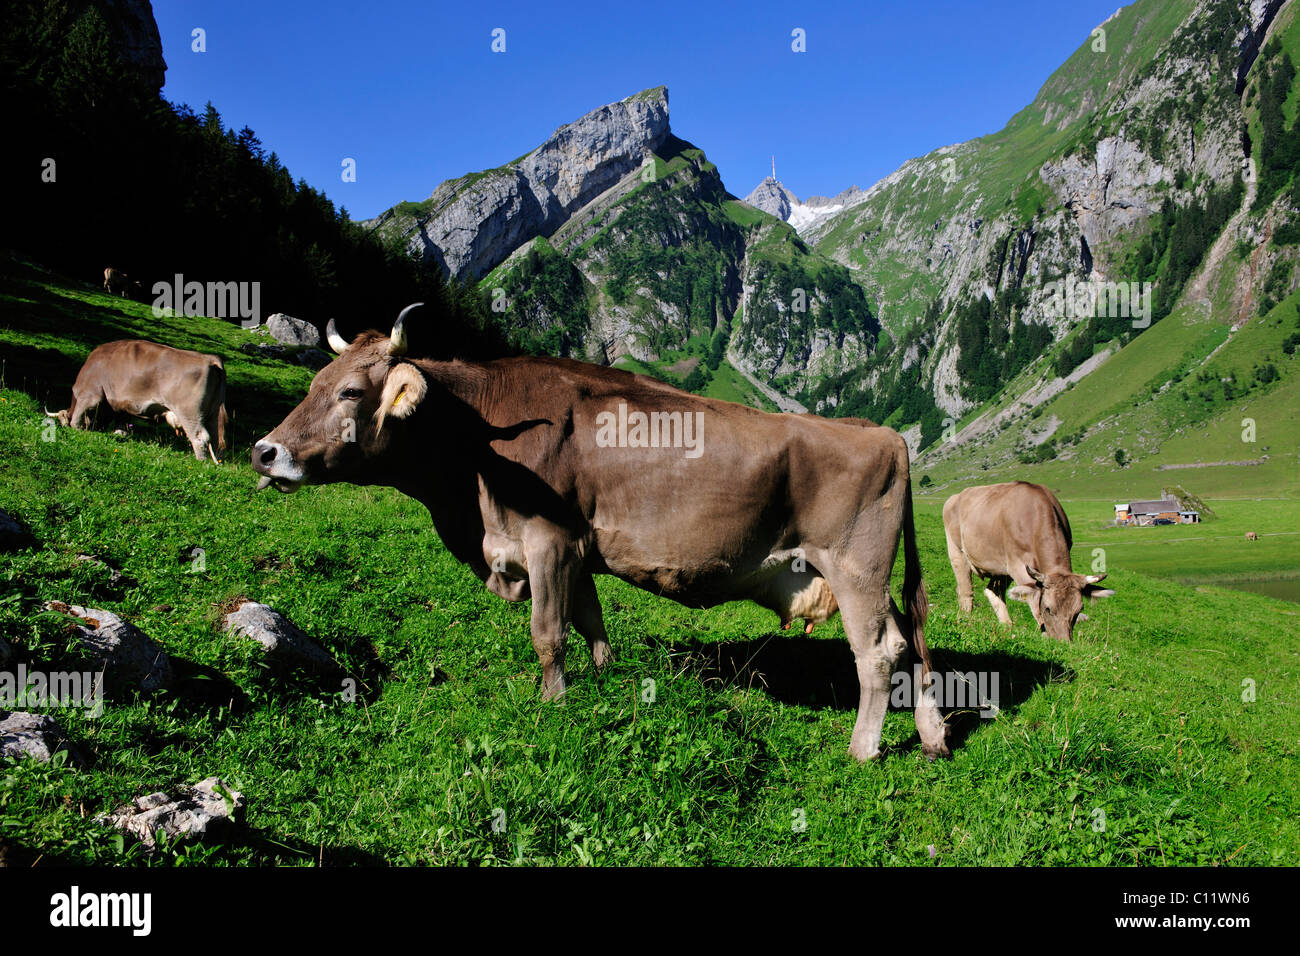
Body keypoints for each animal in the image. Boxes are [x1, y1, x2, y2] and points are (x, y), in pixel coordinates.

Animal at [47, 340, 228, 463]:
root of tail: (208, 358)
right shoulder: (121, 407)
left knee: (200, 438)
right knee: (215, 439)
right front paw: (119, 435)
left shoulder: (90, 395)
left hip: (189, 413)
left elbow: (77, 416)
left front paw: (76, 429)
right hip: (212, 414)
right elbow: (122, 424)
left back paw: (200, 461)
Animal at [251, 305, 951, 762]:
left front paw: (552, 704)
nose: (264, 451)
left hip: (855, 568)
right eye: (313, 384)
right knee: (909, 641)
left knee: (878, 652)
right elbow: (591, 625)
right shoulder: (578, 551)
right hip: (866, 575)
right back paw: (933, 735)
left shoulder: (547, 540)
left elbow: (548, 633)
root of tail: (881, 433)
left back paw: (863, 748)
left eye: (349, 392)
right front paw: (605, 682)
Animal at [942, 480, 1115, 641]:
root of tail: (955, 497)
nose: (1063, 643)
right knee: (965, 591)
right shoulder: (1018, 566)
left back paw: (1007, 626)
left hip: (1001, 568)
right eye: (1048, 608)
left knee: (993, 591)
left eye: (1078, 610)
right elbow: (1035, 603)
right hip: (956, 551)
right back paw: (966, 619)